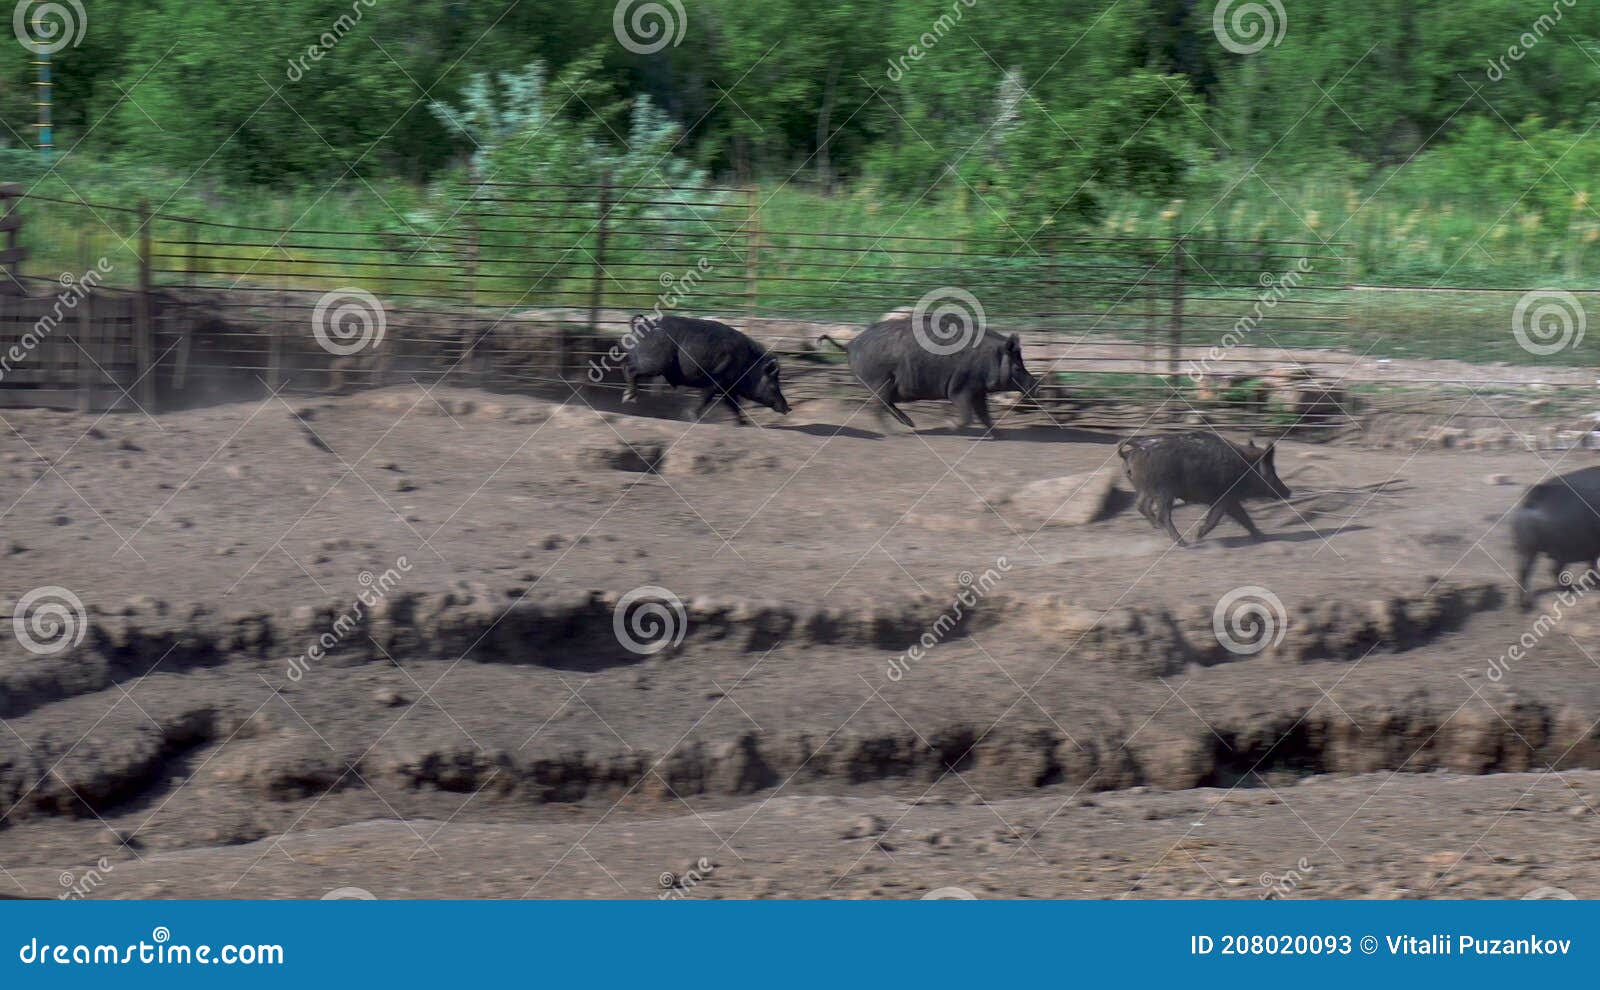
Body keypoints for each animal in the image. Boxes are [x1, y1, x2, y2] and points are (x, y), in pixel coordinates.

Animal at [623, 314, 790, 423]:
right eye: (774, 385)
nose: (788, 409)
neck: (746, 366)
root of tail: (638, 327)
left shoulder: (728, 388)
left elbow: (734, 405)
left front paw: (743, 424)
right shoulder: (717, 380)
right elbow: (706, 398)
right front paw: (691, 417)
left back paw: (629, 397)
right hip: (654, 363)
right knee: (630, 369)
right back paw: (629, 398)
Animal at [821, 316, 1039, 430]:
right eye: (1018, 367)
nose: (1035, 384)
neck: (989, 359)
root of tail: (850, 345)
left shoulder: (978, 392)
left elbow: (985, 416)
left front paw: (997, 434)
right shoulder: (960, 389)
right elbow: (967, 416)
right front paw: (949, 424)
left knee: (886, 405)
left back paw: (911, 425)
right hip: (880, 381)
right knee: (878, 408)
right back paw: (895, 432)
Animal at [1118, 432, 1292, 545]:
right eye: (1272, 470)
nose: (1289, 492)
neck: (1244, 468)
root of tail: (1134, 451)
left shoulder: (1229, 499)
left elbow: (1244, 518)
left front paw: (1262, 537)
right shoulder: (1225, 498)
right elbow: (1217, 518)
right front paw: (1198, 536)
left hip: (1146, 490)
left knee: (1141, 506)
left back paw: (1159, 529)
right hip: (1164, 492)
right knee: (1163, 515)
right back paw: (1183, 543)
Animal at [1510, 466, 1600, 610]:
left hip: (1526, 549)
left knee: (1524, 571)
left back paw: (1524, 605)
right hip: (1561, 548)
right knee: (1553, 570)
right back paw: (1569, 589)